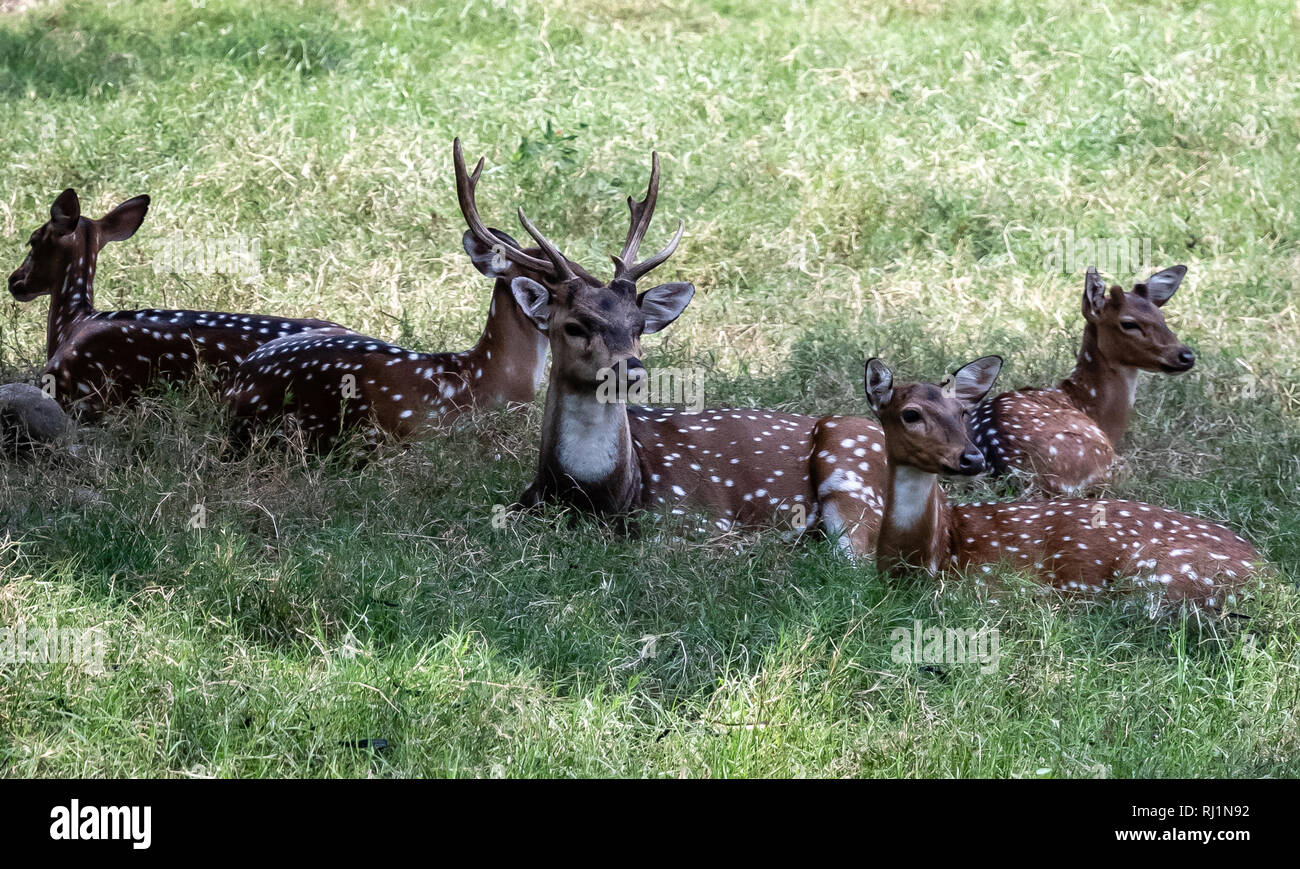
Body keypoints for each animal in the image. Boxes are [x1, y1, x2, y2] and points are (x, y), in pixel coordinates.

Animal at [508, 150, 892, 549]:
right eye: (574, 326)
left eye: (638, 326)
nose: (631, 369)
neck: (601, 496)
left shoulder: (698, 519)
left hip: (855, 476)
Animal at [858, 354, 1259, 611]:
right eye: (910, 414)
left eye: (961, 412)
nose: (971, 458)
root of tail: (1268, 578)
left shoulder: (986, 585)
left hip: (1156, 577)